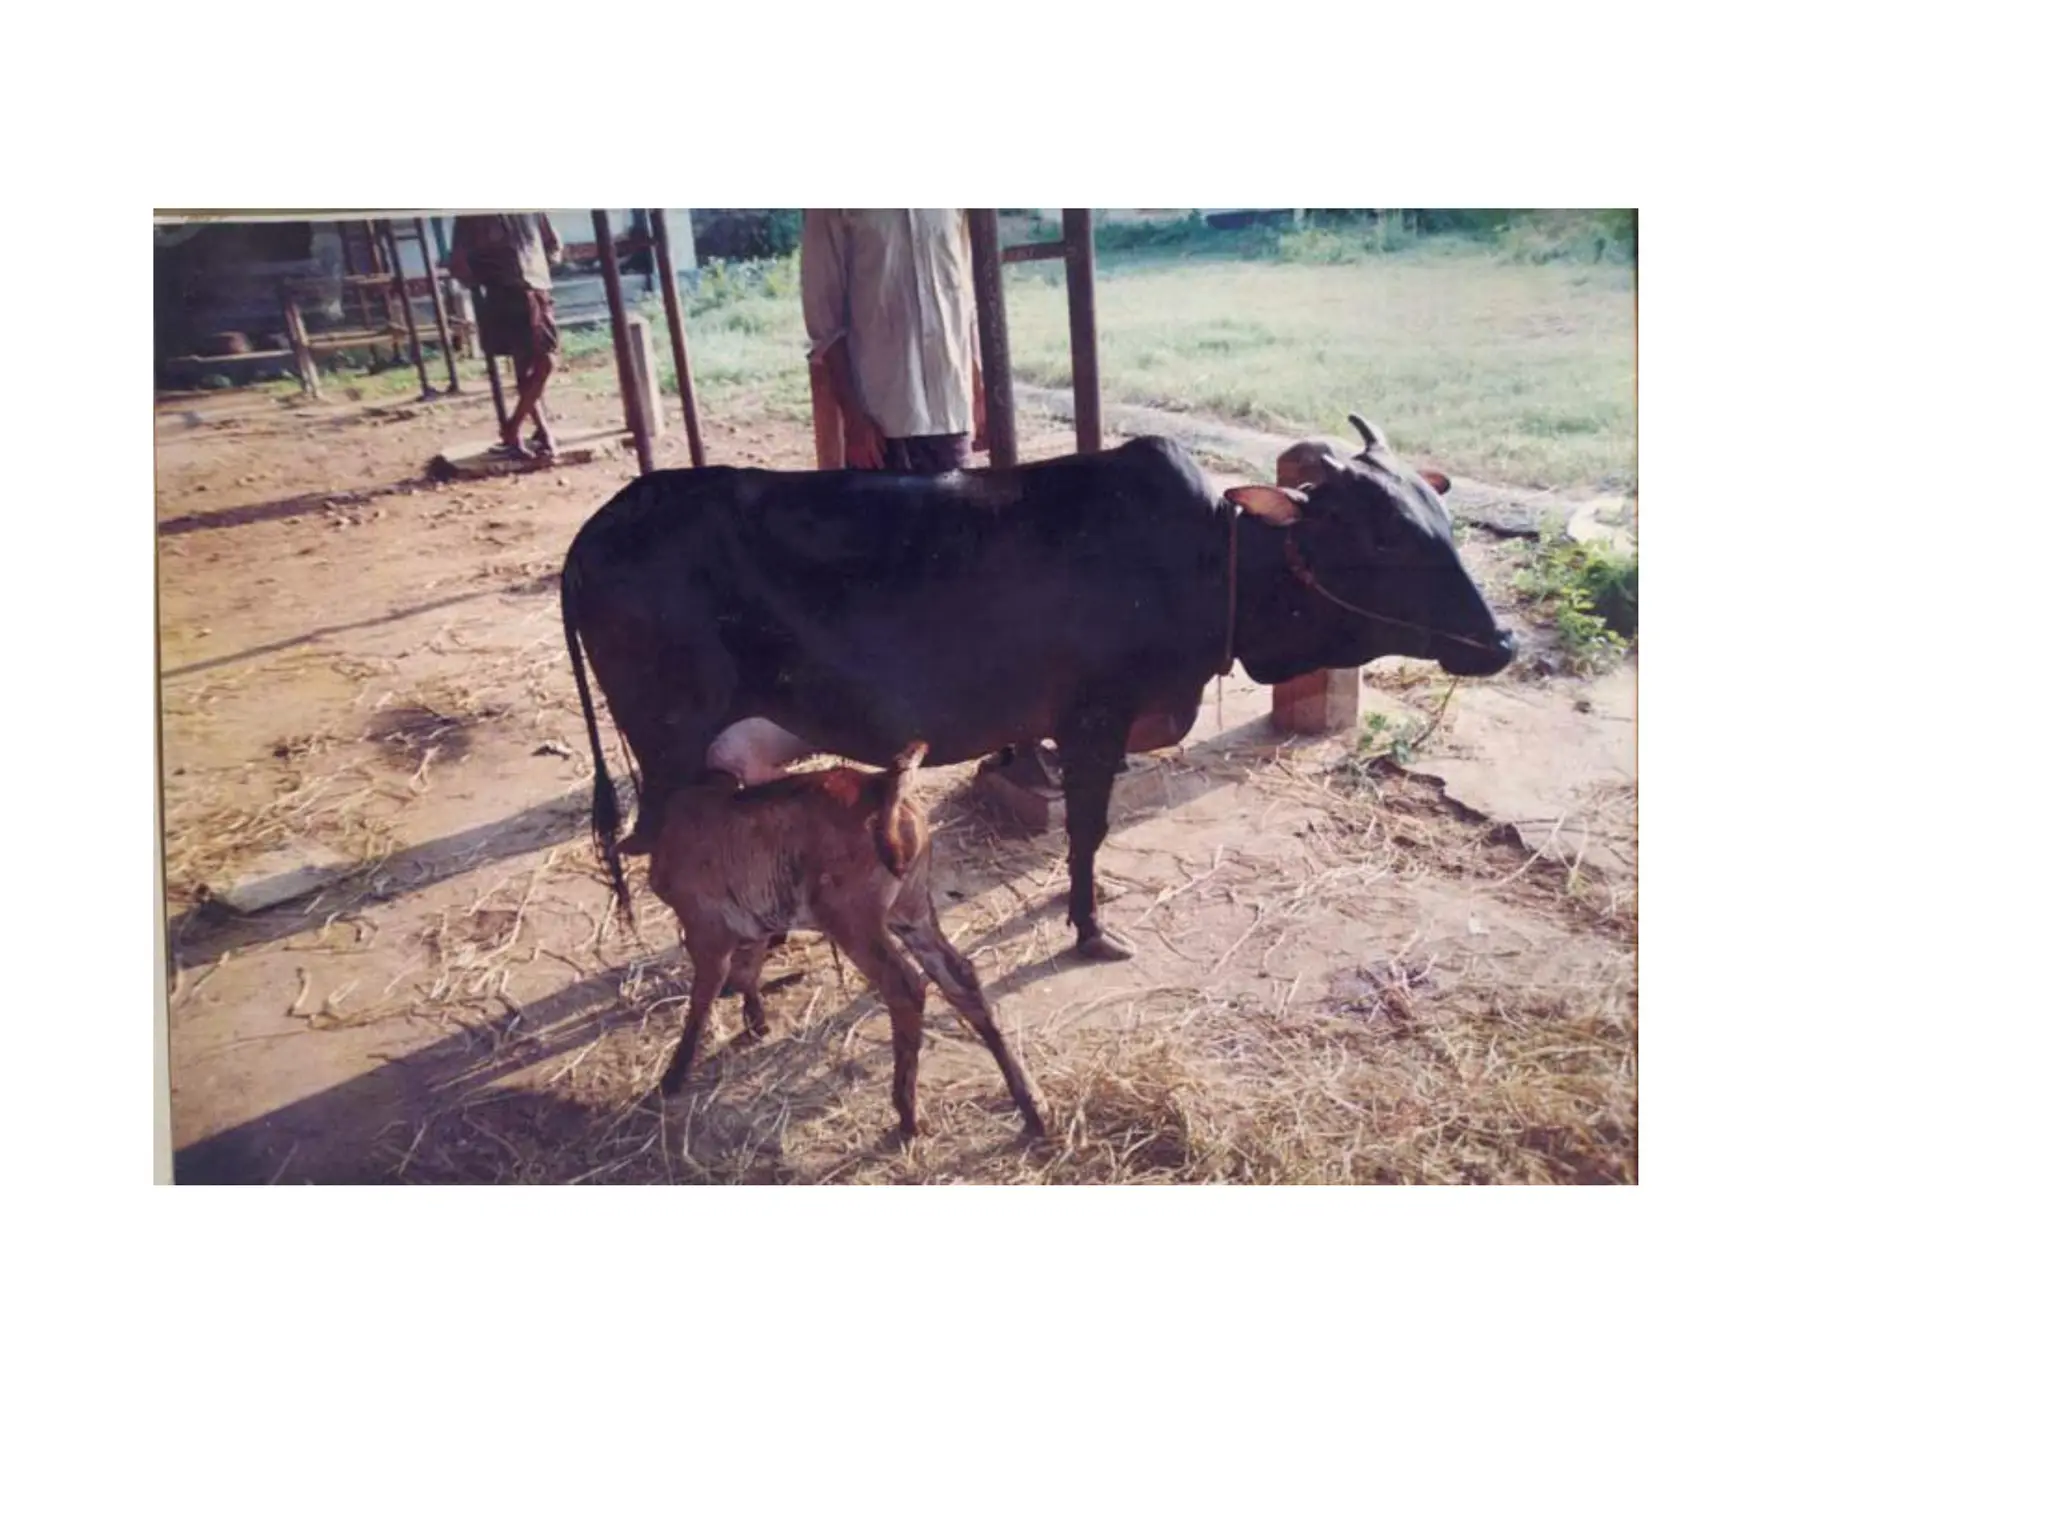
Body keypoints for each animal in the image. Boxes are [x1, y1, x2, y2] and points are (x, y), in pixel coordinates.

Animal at [561, 413, 1516, 962]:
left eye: (1440, 515)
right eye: (1382, 536)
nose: (1502, 641)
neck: (1214, 558)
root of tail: (593, 533)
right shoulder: (1092, 720)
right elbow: (1087, 829)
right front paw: (1090, 928)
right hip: (670, 740)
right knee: (658, 853)